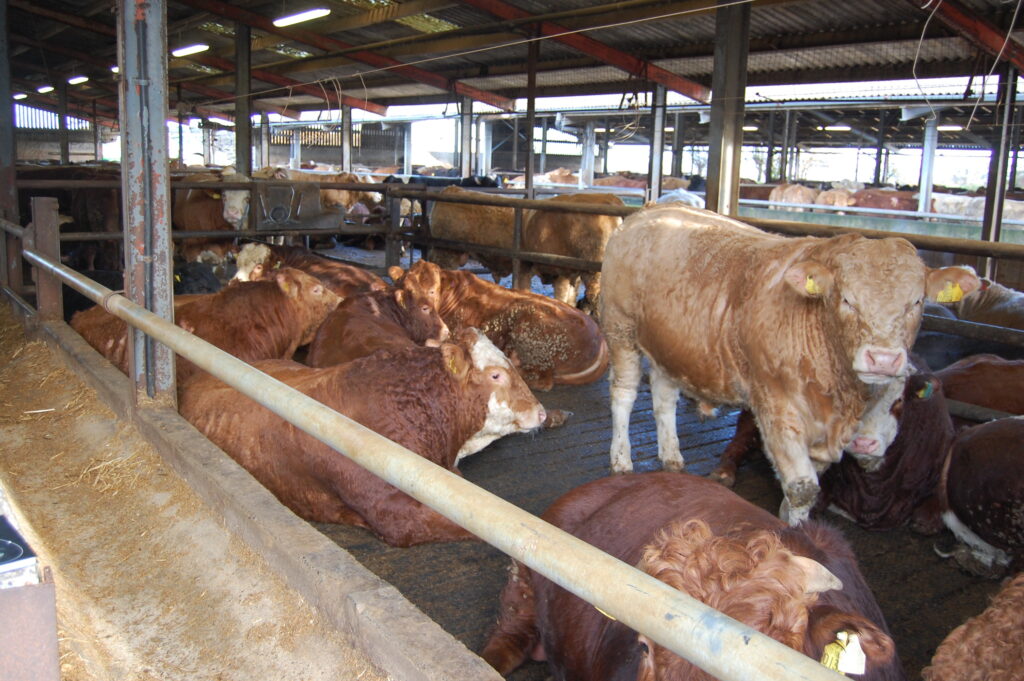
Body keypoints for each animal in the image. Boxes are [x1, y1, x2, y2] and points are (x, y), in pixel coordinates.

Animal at [599, 202, 981, 524]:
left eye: (917, 302)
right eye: (846, 299)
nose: (884, 358)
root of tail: (653, 209)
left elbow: (809, 486)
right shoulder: (776, 405)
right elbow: (802, 487)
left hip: (668, 346)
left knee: (664, 397)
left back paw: (672, 457)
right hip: (621, 329)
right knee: (624, 393)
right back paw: (621, 459)